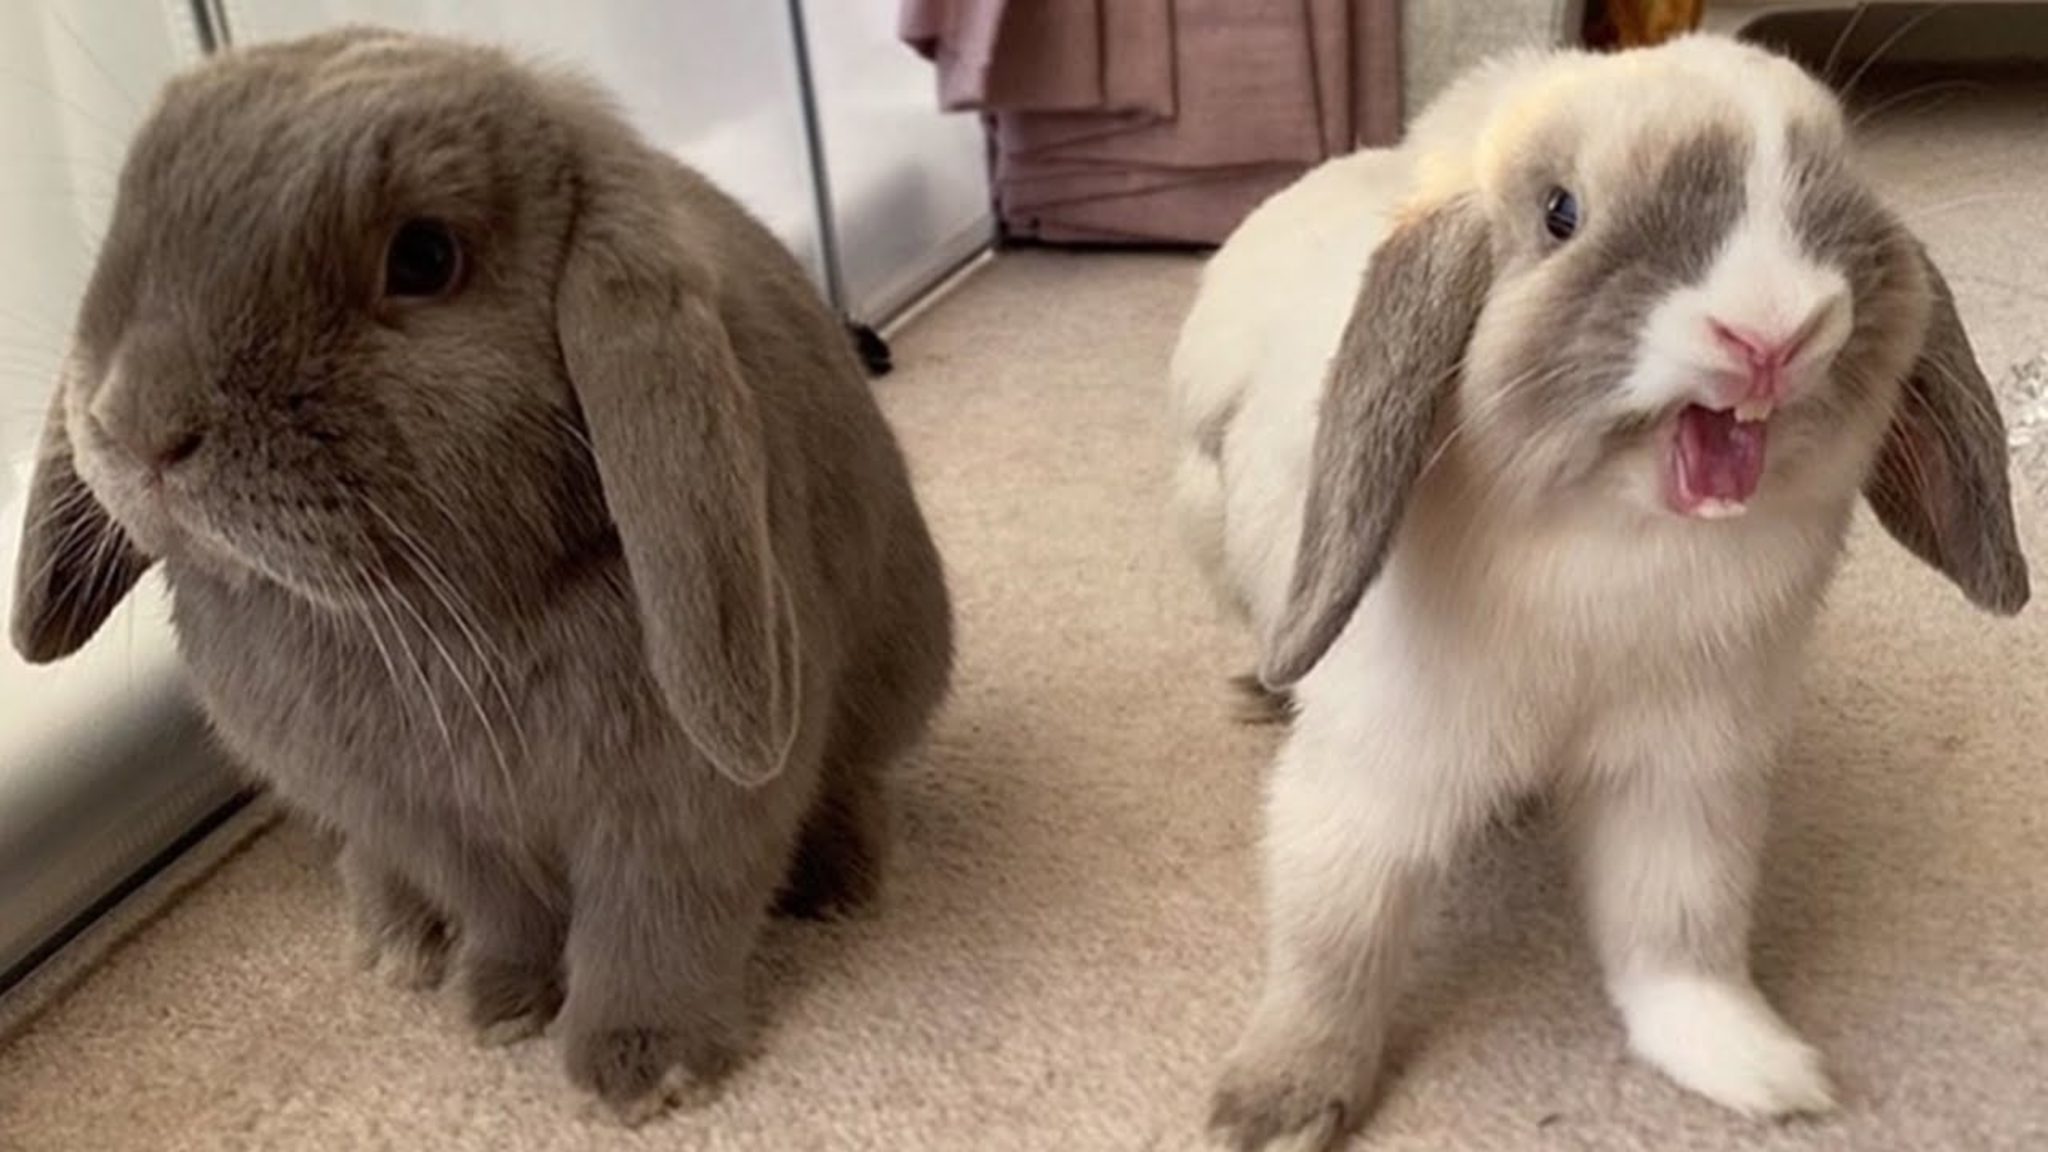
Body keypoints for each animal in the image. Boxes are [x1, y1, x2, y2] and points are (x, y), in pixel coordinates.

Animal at [9, 27, 953, 1122]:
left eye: (423, 258)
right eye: (131, 217)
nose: (136, 424)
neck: (431, 612)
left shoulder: (681, 810)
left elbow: (660, 922)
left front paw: (640, 1070)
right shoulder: (435, 824)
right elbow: (505, 908)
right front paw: (498, 1002)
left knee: (848, 774)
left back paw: (840, 881)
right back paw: (396, 937)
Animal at [1169, 33, 2029, 1151]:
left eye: (1831, 195)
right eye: (1560, 214)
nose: (1771, 331)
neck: (1608, 549)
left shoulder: (1682, 780)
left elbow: (1674, 938)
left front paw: (1754, 1069)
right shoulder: (1371, 780)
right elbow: (1332, 946)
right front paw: (1271, 1109)